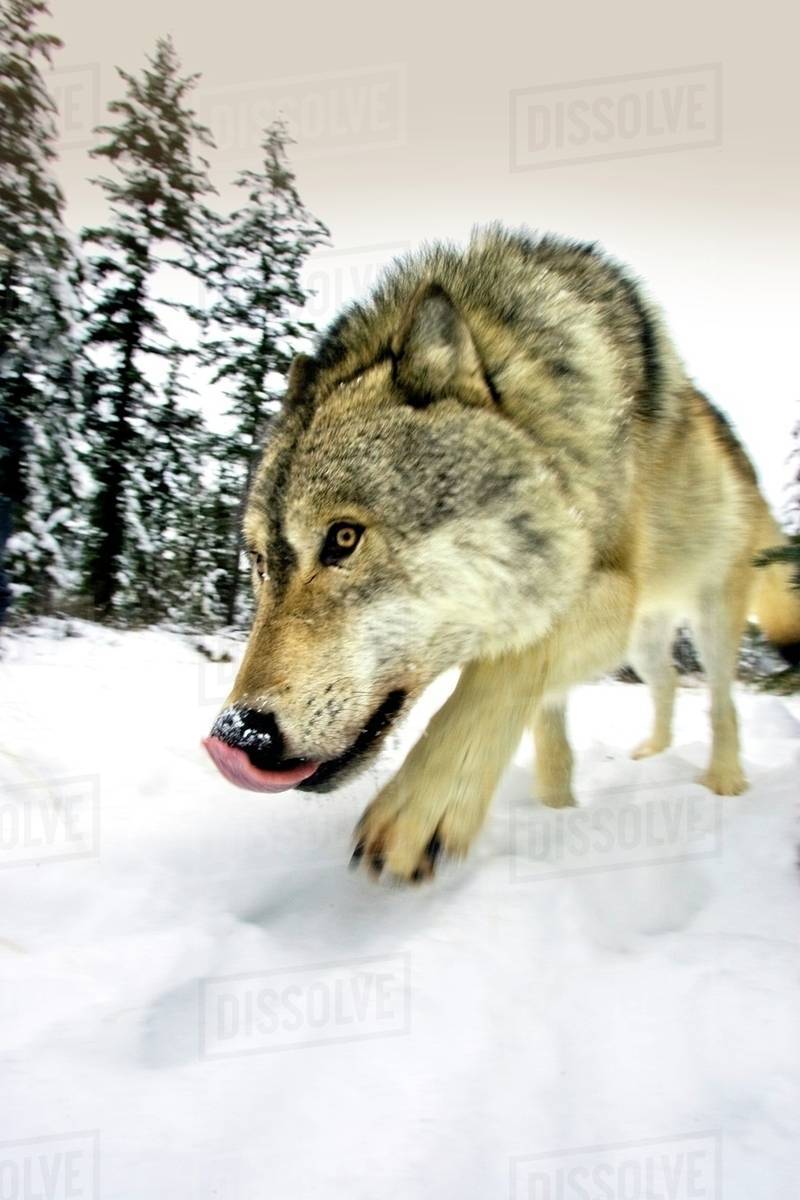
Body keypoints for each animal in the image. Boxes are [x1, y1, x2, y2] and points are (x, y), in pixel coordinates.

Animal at [204, 226, 800, 882]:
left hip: (711, 617)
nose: (238, 735)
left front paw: (424, 806)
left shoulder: (603, 591)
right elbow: (549, 738)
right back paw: (650, 756)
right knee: (667, 682)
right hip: (646, 640)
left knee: (720, 702)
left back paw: (723, 782)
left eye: (342, 538)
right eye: (259, 563)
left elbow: (507, 667)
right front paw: (556, 813)